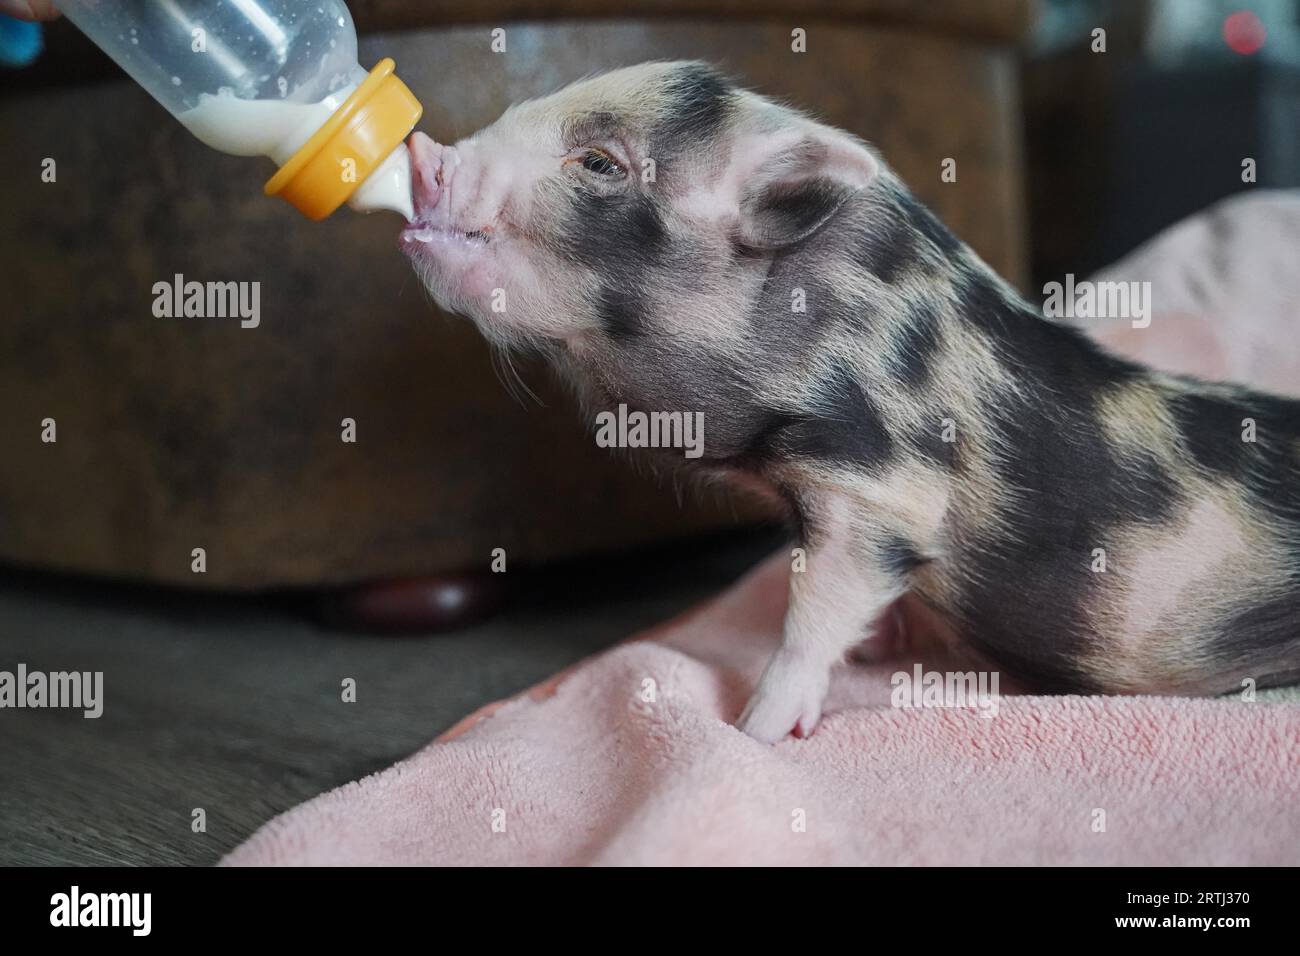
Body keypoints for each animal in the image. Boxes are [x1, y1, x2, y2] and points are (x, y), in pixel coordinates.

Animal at [400, 61, 1300, 743]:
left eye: (599, 163)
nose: (420, 148)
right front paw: (877, 653)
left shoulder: (879, 485)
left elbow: (816, 608)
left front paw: (757, 729)